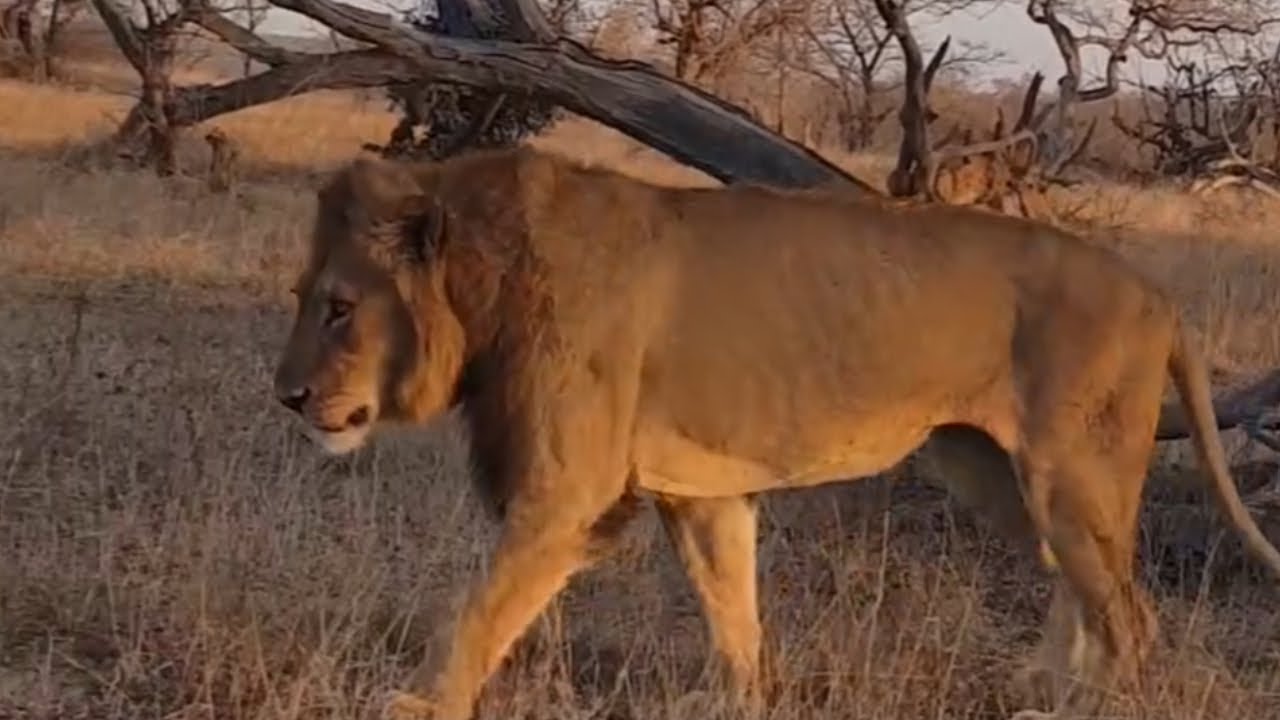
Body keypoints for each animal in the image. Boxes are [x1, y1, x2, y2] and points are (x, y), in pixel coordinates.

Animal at [272, 147, 1280, 720]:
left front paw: (421, 702)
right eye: (305, 298)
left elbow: (477, 611)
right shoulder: (699, 494)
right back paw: (1046, 691)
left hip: (1071, 475)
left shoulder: (566, 493)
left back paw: (1077, 707)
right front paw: (730, 701)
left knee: (1131, 617)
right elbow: (732, 610)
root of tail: (1157, 293)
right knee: (1081, 589)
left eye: (340, 308)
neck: (484, 282)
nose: (286, 397)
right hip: (993, 471)